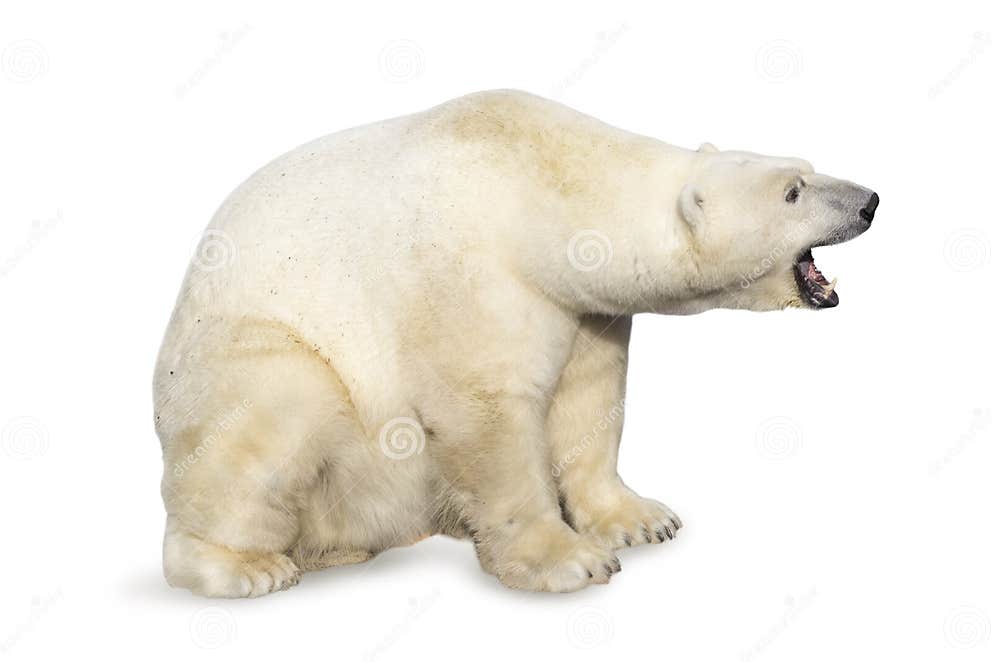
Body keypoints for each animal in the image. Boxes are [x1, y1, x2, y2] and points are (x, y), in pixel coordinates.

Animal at [154, 89, 878, 597]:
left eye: (806, 167)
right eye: (793, 192)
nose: (870, 200)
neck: (541, 185)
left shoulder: (583, 307)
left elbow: (590, 397)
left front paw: (642, 520)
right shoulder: (469, 274)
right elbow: (487, 414)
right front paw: (569, 561)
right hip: (245, 364)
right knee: (271, 416)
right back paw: (247, 567)